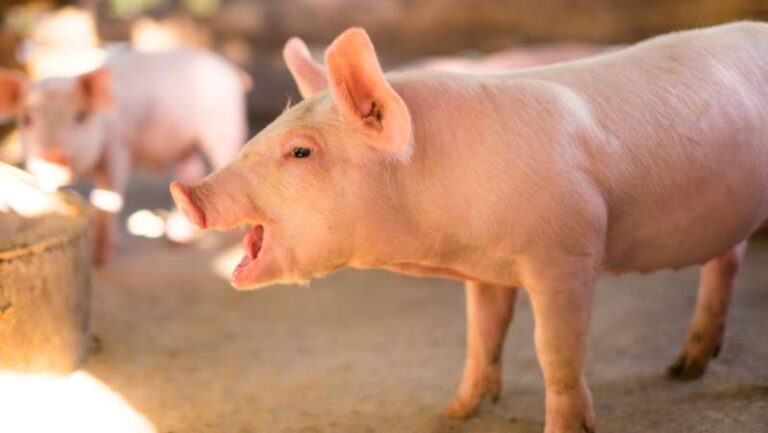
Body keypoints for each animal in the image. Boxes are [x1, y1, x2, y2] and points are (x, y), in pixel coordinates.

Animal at [0, 48, 250, 263]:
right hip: (186, 145)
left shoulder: (119, 149)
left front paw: (102, 259)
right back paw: (176, 241)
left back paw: (233, 240)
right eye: (26, 120)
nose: (52, 155)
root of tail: (230, 70)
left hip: (225, 127)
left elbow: (105, 200)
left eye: (81, 115)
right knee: (192, 170)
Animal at [170, 22, 768, 433]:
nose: (185, 193)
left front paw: (564, 427)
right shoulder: (486, 272)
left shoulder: (568, 253)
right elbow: (481, 333)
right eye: (269, 126)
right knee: (727, 259)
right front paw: (454, 411)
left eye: (300, 151)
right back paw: (683, 369)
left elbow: (556, 348)